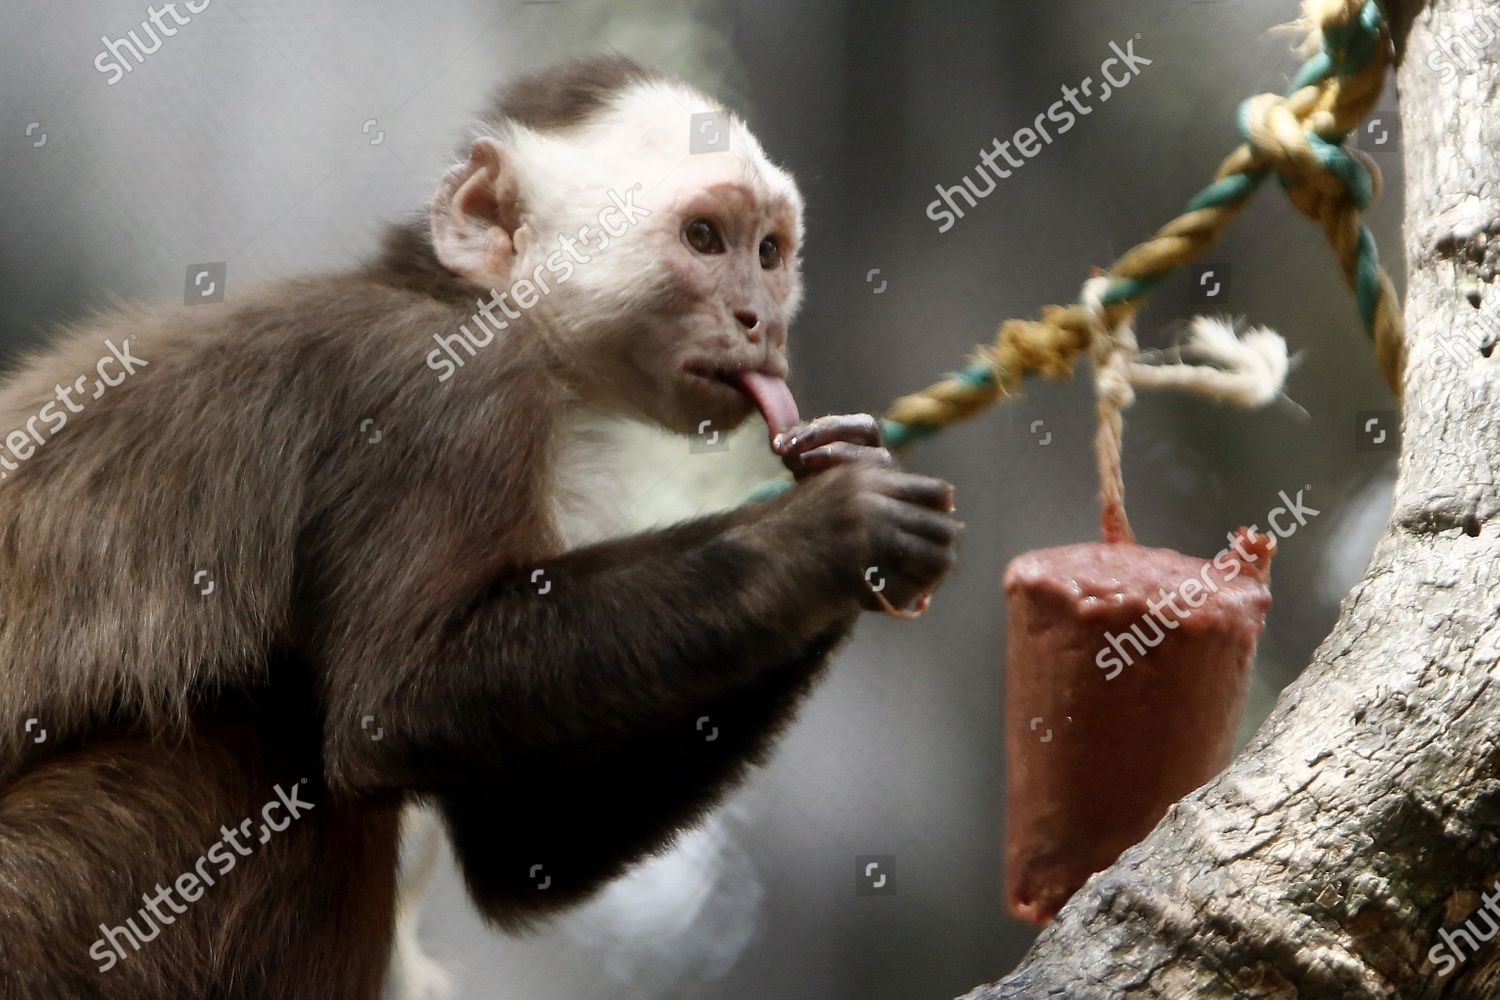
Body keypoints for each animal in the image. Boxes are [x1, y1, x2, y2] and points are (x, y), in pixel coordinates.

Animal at [0, 54, 959, 999]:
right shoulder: (448, 395)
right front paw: (832, 532)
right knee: (271, 746)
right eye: (703, 240)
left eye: (768, 254)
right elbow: (396, 703)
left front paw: (843, 488)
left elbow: (518, 845)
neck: (459, 301)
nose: (763, 323)